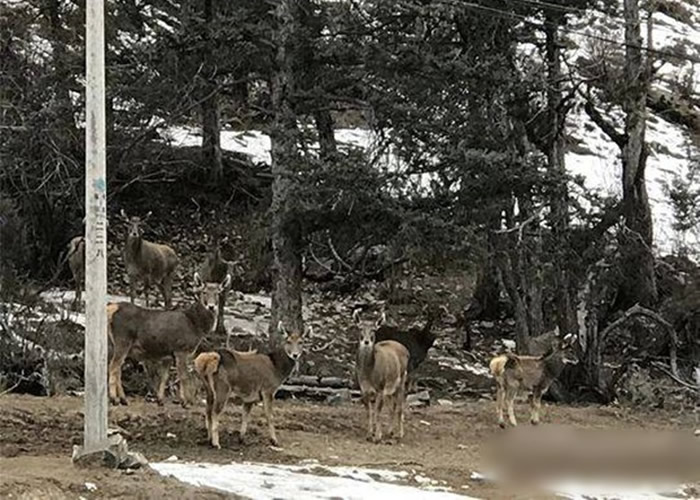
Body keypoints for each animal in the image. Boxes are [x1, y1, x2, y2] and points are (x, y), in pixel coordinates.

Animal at [107, 272, 231, 407]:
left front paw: (160, 399)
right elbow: (184, 376)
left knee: (117, 368)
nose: (211, 306)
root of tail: (112, 309)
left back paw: (123, 399)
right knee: (113, 366)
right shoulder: (181, 349)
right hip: (122, 339)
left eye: (218, 293)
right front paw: (186, 402)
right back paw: (114, 399)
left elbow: (165, 376)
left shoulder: (169, 354)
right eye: (203, 292)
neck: (195, 326)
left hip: (115, 344)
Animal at [354, 309, 410, 443]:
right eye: (360, 328)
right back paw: (390, 431)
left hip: (402, 379)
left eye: (374, 330)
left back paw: (399, 434)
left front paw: (377, 436)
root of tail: (406, 350)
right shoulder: (363, 388)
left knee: (400, 406)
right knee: (392, 407)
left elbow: (378, 410)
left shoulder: (380, 387)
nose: (366, 341)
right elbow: (369, 411)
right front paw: (369, 434)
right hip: (390, 388)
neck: (369, 374)